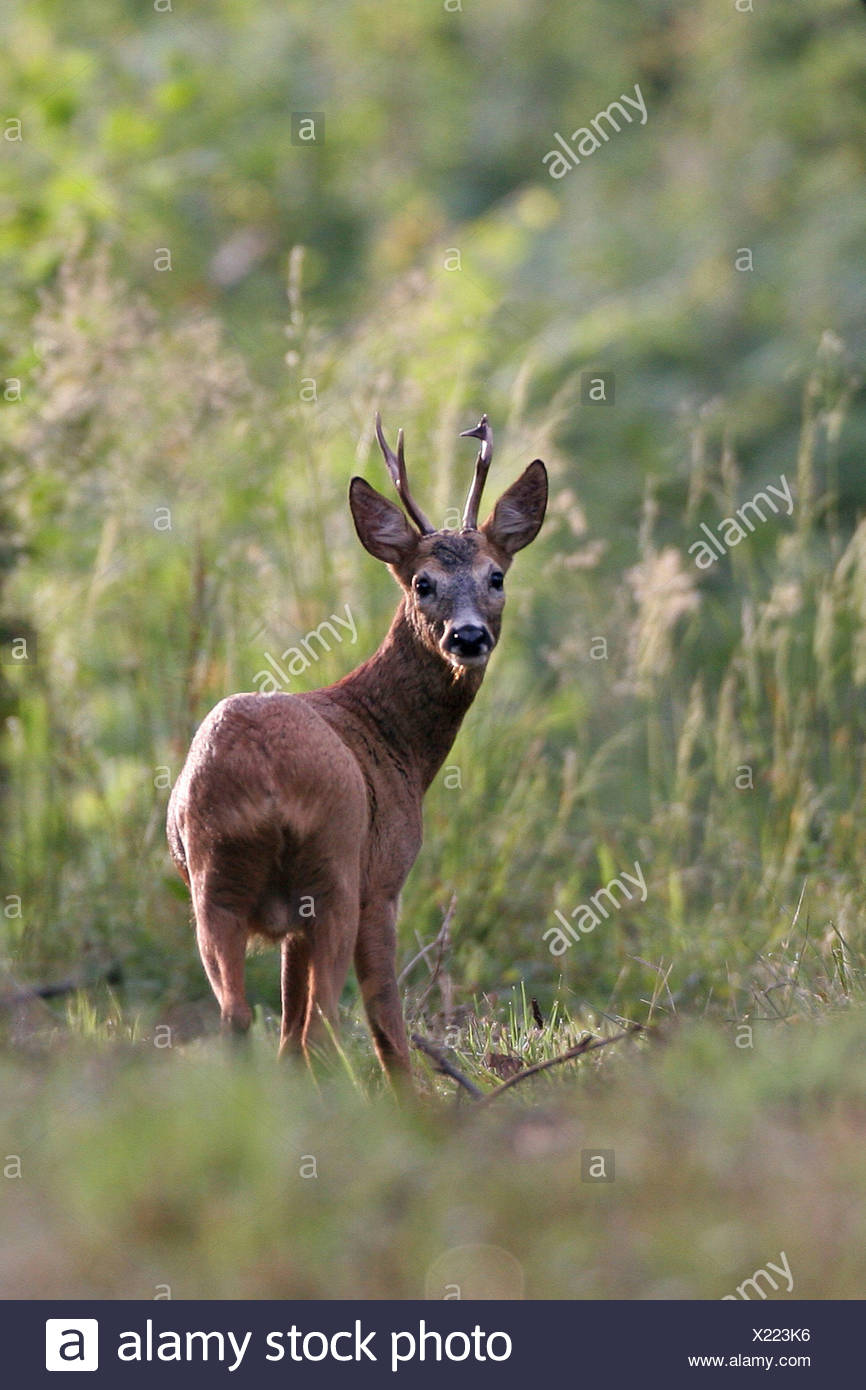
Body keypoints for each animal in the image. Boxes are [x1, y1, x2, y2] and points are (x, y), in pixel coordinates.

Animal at [166, 413, 547, 1080]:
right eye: (423, 582)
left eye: (495, 577)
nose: (468, 636)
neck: (398, 743)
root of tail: (265, 775)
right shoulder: (386, 878)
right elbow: (385, 1022)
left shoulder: (288, 926)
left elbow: (286, 1028)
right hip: (337, 872)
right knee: (323, 1027)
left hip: (213, 883)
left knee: (243, 1020)